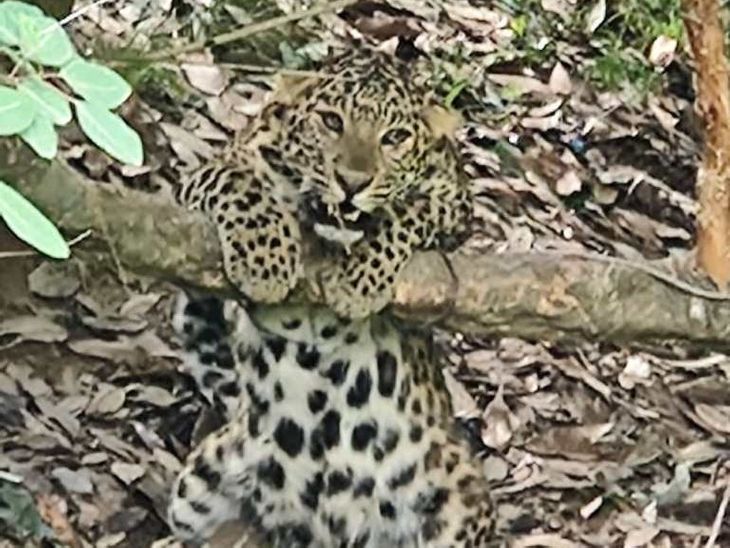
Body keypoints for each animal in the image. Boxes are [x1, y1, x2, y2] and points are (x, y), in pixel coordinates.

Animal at [166, 49, 494, 547]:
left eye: (394, 138)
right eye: (330, 121)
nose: (352, 183)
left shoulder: (457, 203)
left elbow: (408, 210)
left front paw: (359, 281)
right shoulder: (209, 173)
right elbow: (236, 181)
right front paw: (265, 260)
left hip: (458, 498)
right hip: (197, 490)